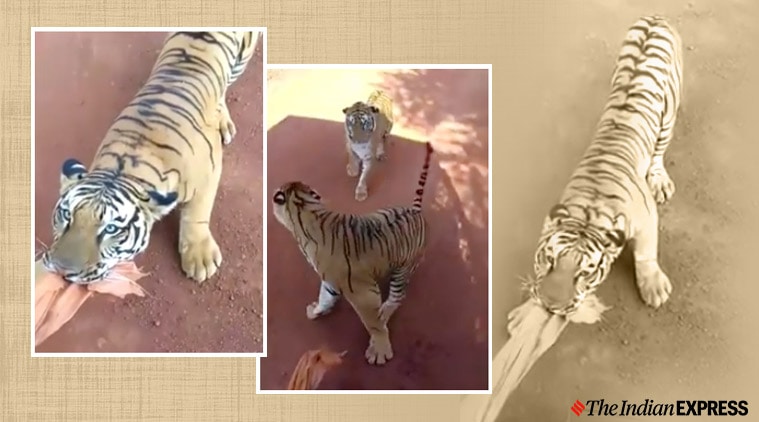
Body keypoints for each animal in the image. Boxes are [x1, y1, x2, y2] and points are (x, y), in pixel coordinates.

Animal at [40, 31, 258, 285]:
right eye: (66, 215)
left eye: (111, 229)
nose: (60, 270)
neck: (123, 166)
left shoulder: (210, 171)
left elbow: (197, 213)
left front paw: (200, 259)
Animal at [271, 142, 434, 365]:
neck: (306, 212)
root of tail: (416, 211)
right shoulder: (330, 280)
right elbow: (325, 297)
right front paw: (316, 310)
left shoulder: (362, 293)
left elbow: (372, 323)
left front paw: (380, 350)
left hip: (403, 268)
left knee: (397, 296)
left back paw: (384, 313)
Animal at [526, 16, 683, 318]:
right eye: (549, 259)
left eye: (584, 273)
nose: (550, 305)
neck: (590, 211)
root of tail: (656, 18)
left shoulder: (647, 219)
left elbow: (646, 254)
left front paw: (655, 289)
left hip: (668, 114)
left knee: (659, 152)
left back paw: (660, 180)